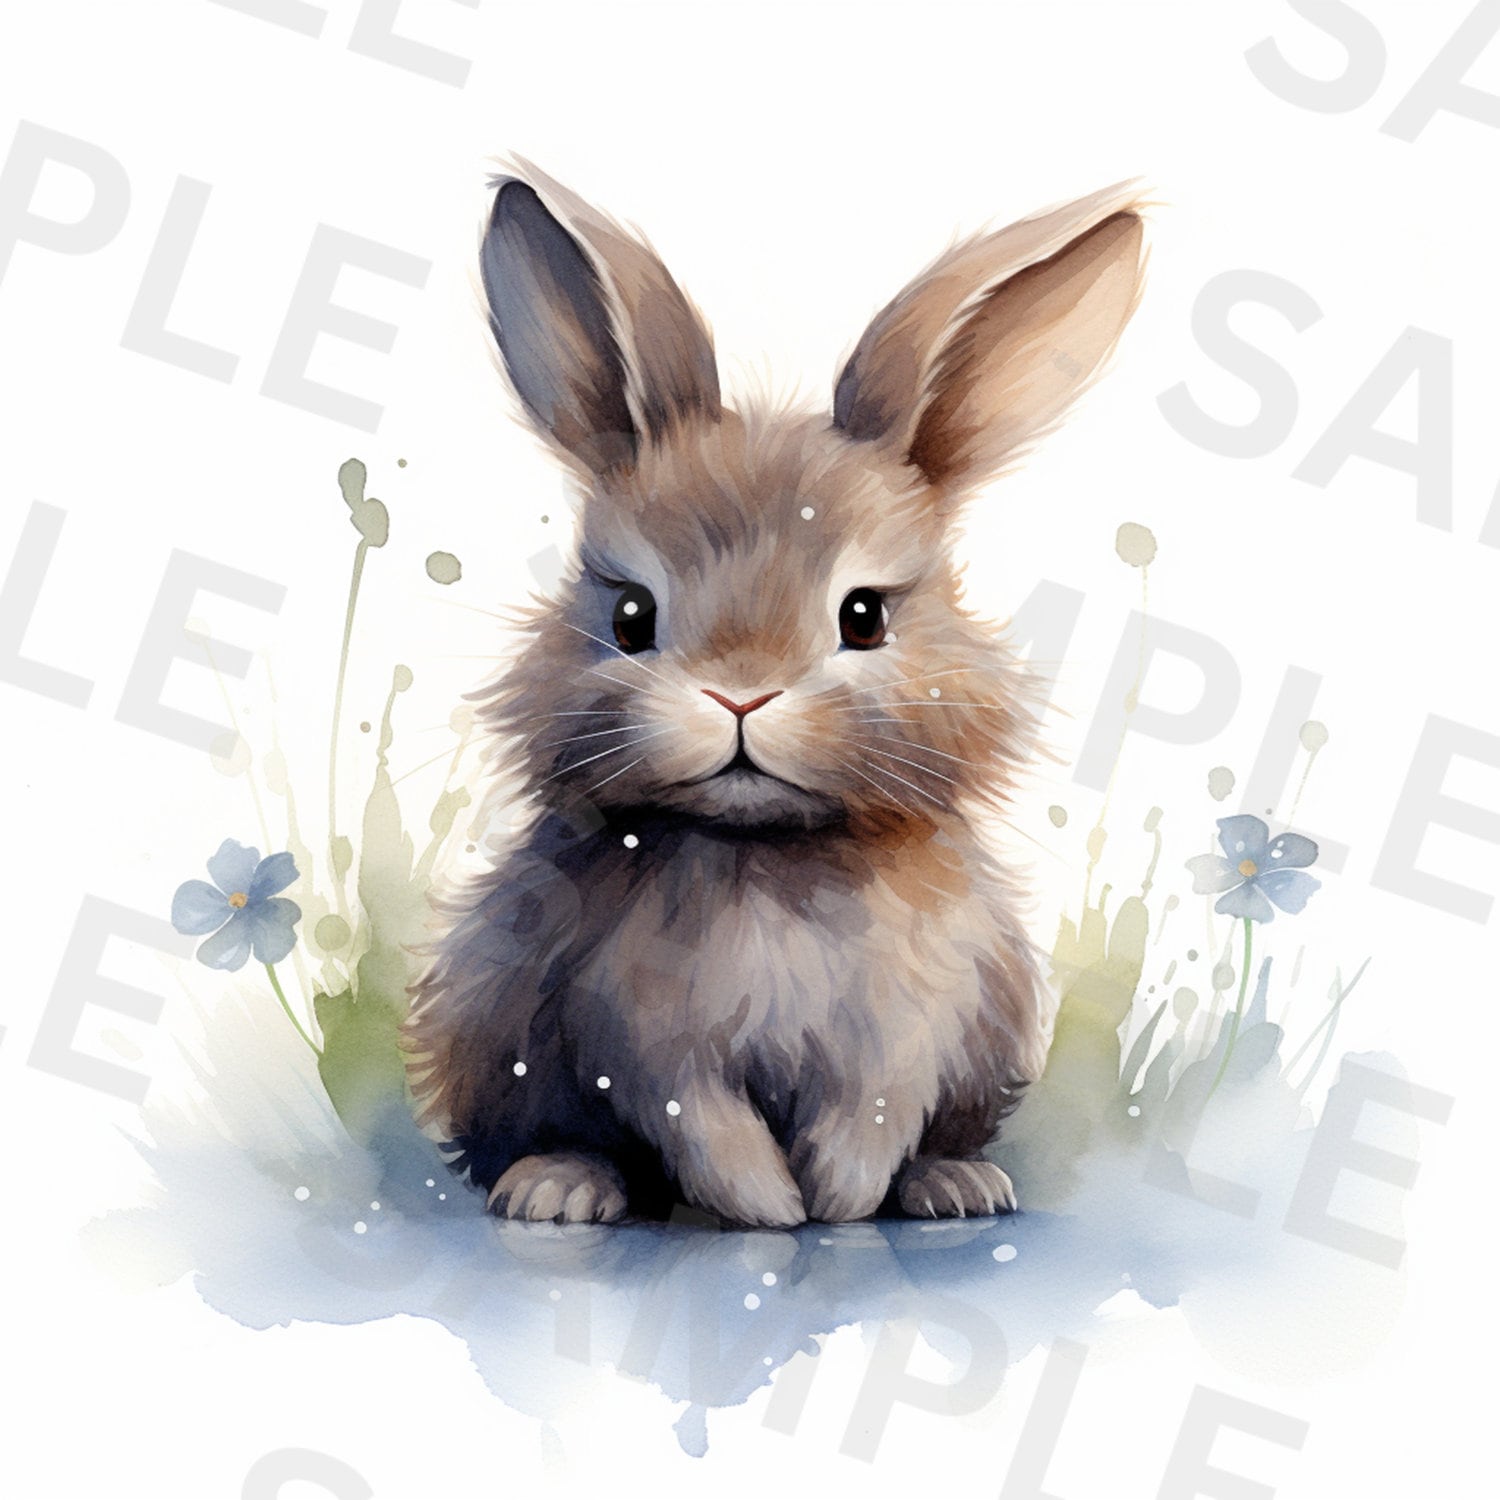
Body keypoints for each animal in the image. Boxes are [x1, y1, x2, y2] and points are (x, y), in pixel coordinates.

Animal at [403, 159, 1148, 1228]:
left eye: (864, 616)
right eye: (631, 615)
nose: (740, 699)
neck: (768, 856)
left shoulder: (908, 1031)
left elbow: (873, 1114)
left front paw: (836, 1201)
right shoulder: (646, 1039)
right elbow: (705, 1125)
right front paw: (770, 1210)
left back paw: (959, 1186)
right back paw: (556, 1188)